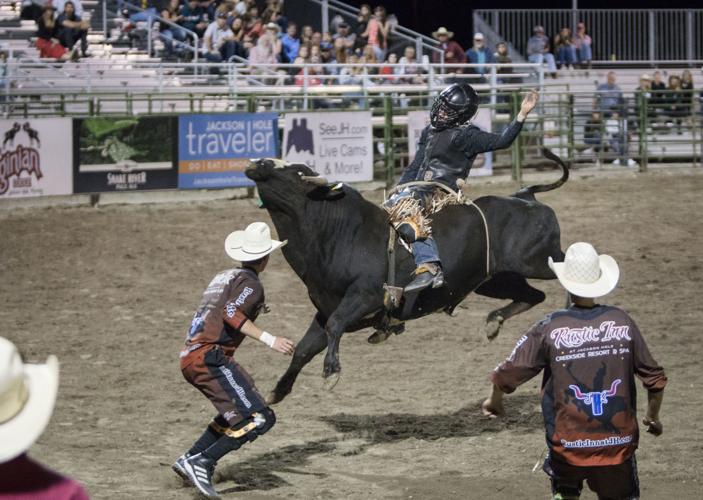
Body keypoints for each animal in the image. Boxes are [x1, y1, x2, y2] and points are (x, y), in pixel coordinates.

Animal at [245, 150, 569, 404]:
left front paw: (331, 372)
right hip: (497, 281)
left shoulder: (366, 297)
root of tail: (526, 197)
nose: (257, 162)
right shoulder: (325, 309)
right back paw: (494, 321)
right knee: (533, 295)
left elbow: (335, 326)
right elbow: (305, 348)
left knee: (567, 266)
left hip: (537, 261)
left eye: (298, 172)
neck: (340, 233)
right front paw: (278, 390)